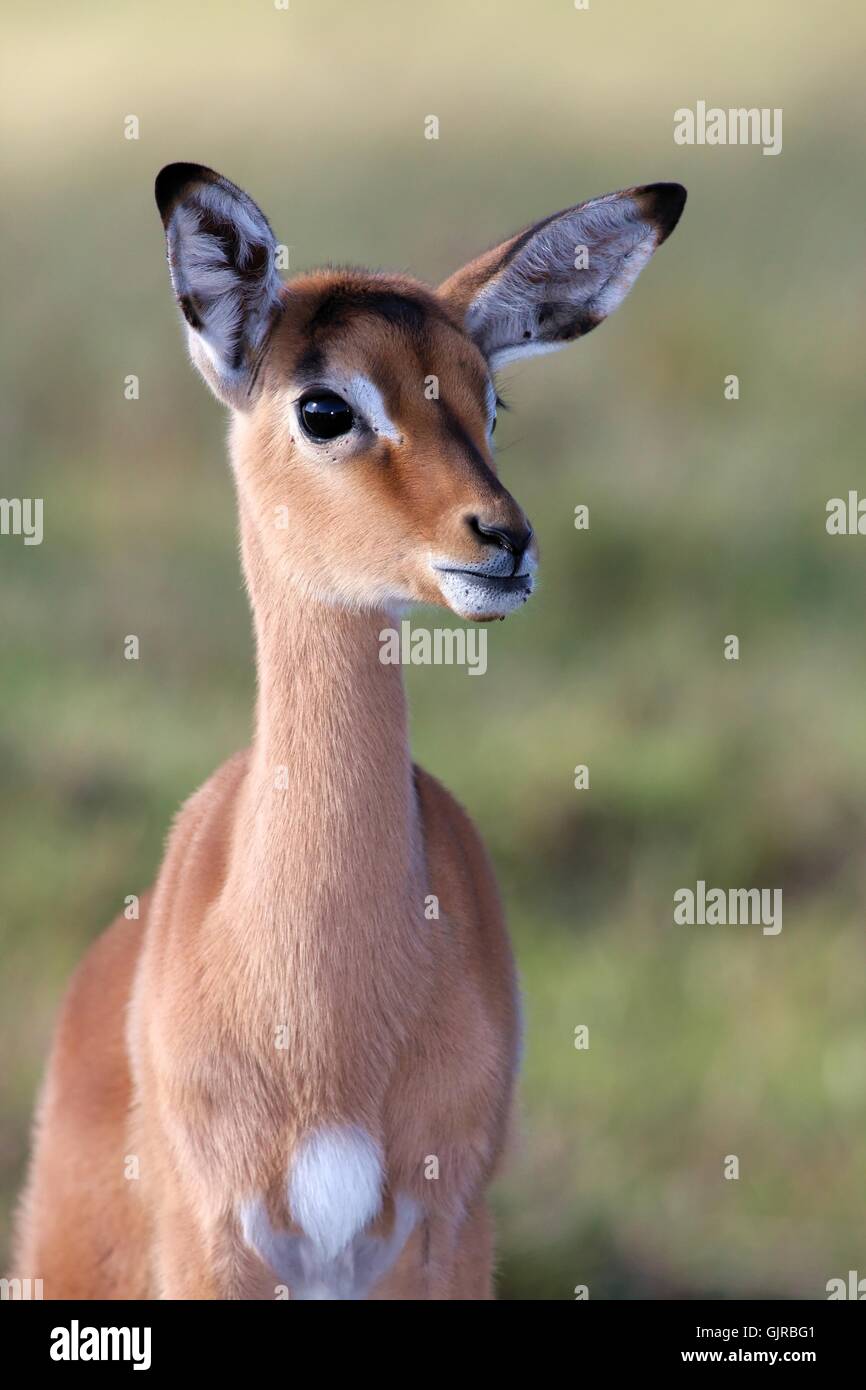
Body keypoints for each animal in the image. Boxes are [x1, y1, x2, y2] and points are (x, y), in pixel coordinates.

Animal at [12, 164, 685, 1300]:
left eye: (489, 399)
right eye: (325, 406)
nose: (504, 541)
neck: (325, 1030)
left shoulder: (444, 1231)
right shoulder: (217, 1241)